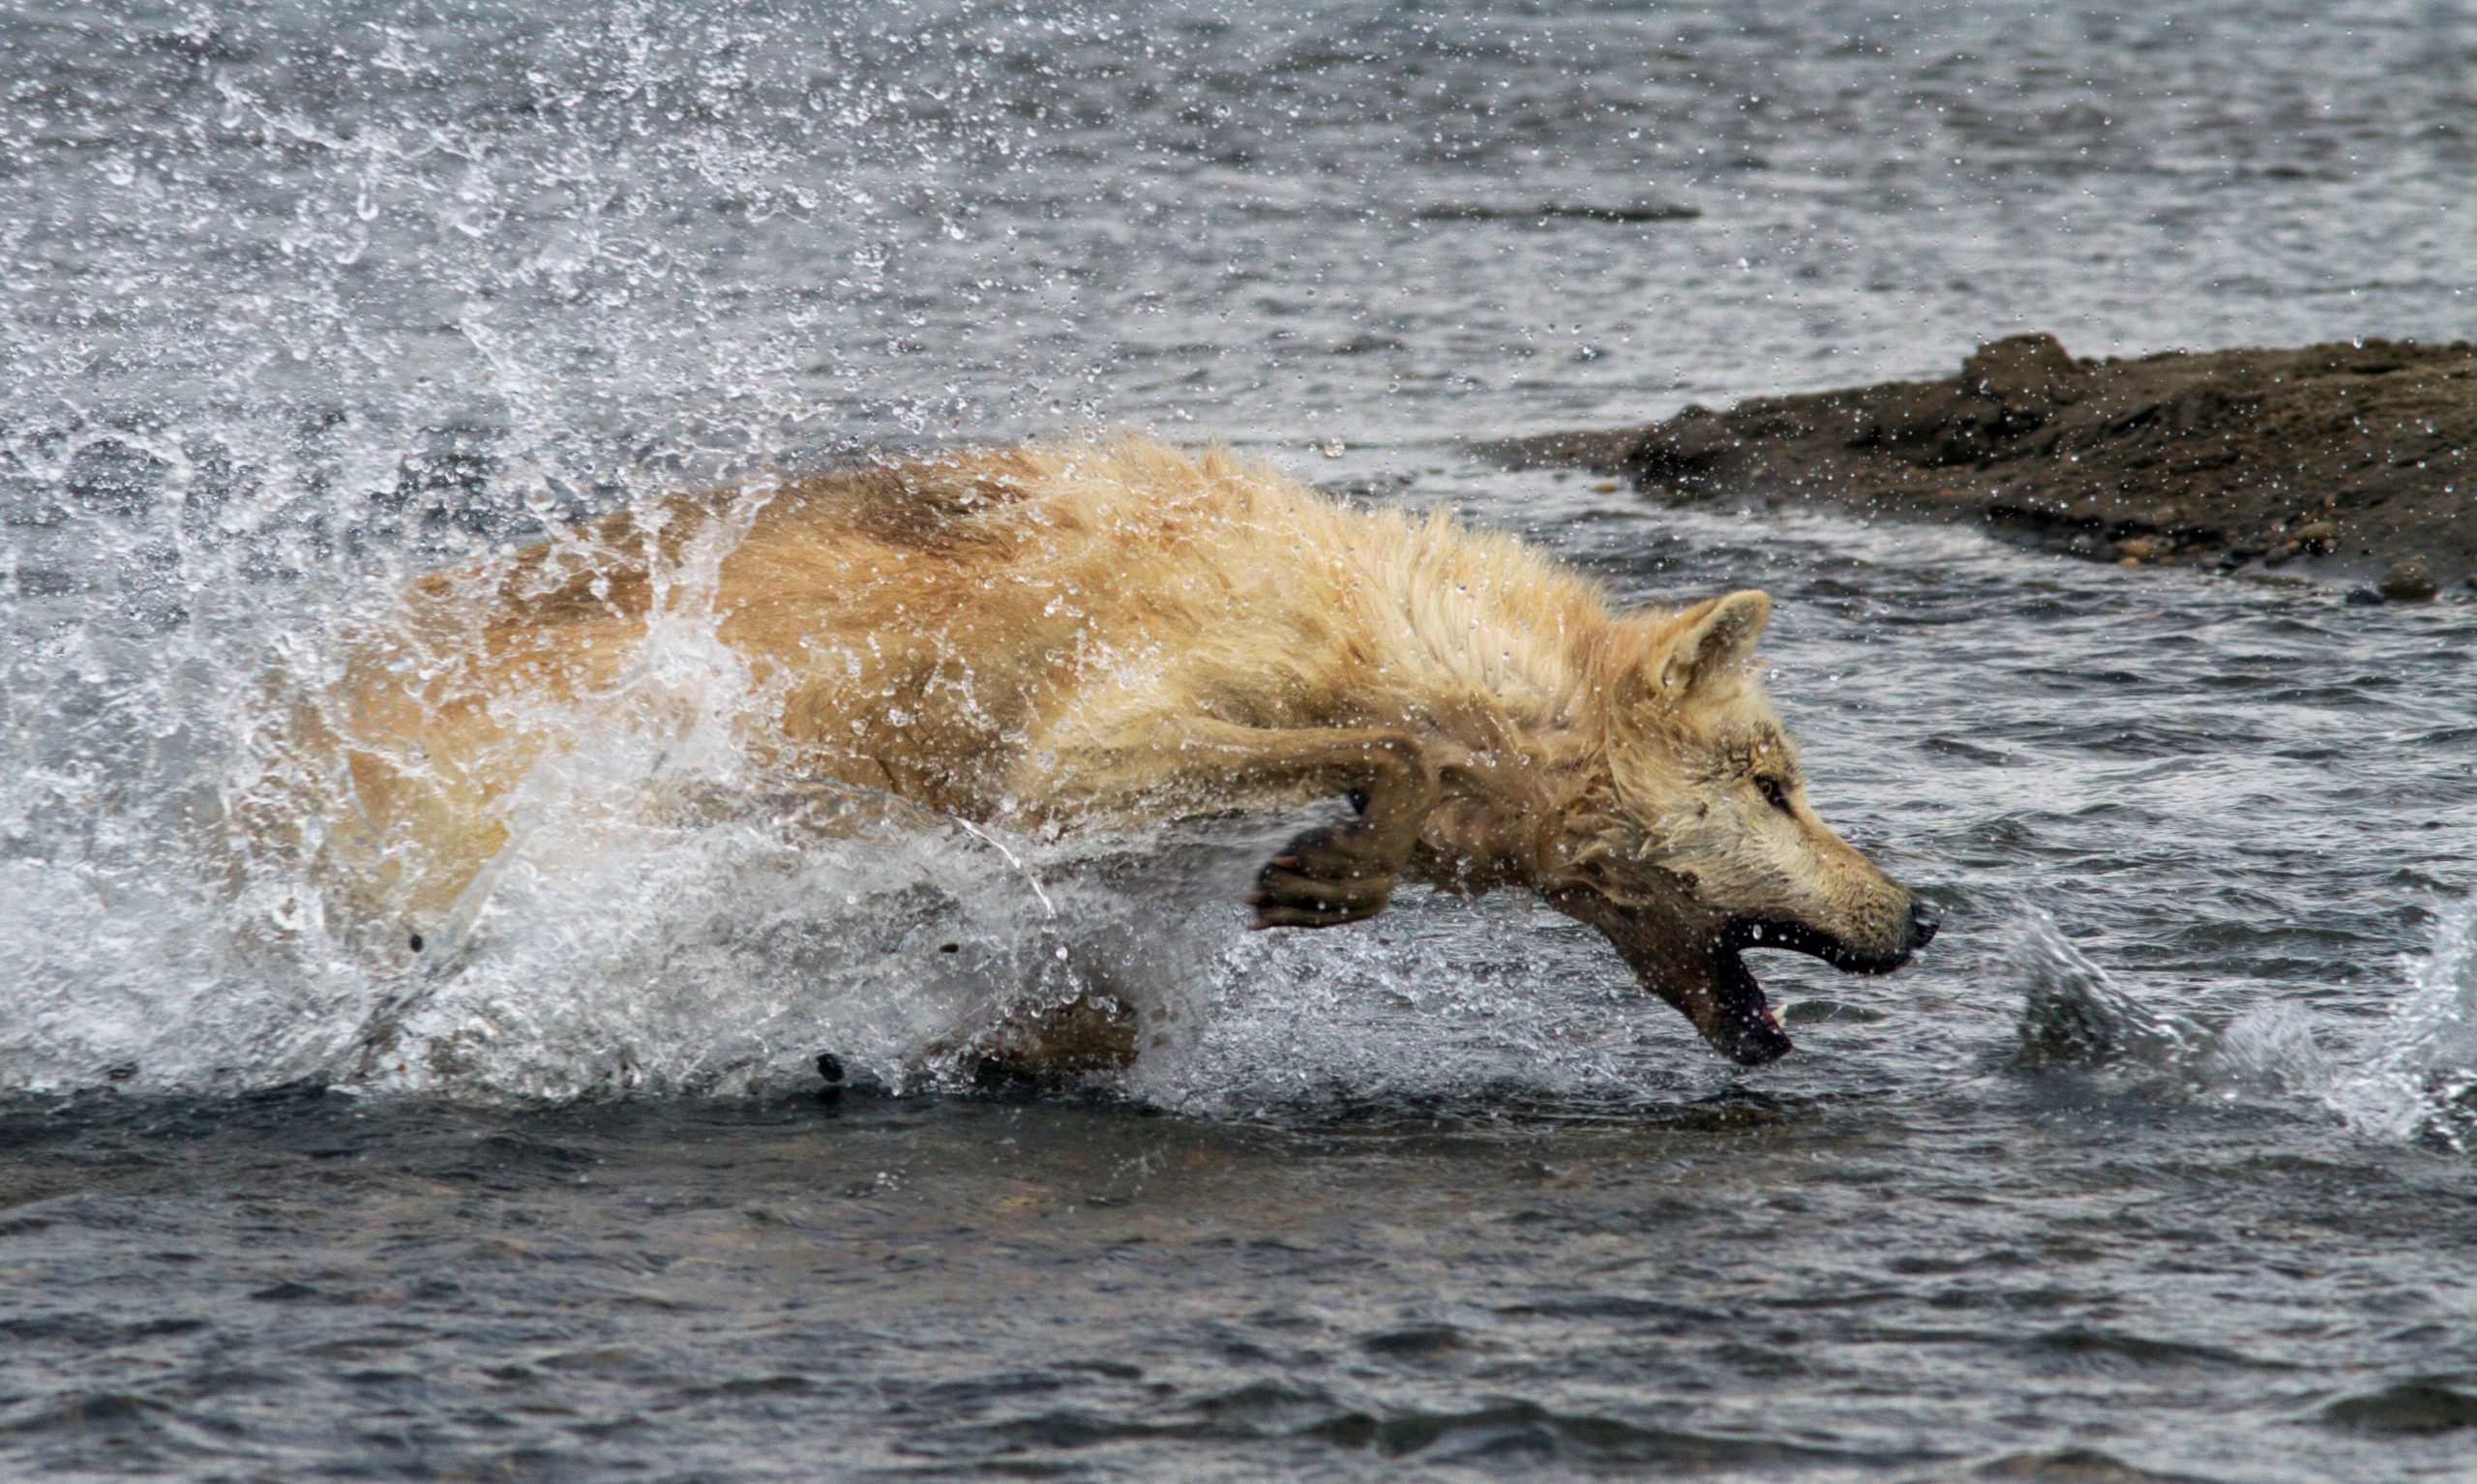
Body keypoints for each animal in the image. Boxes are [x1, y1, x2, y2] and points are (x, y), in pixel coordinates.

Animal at [315, 435, 1936, 1068]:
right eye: (1778, 787)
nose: (1926, 913)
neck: (1368, 621)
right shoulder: (1085, 741)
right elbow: (1383, 748)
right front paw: (1327, 872)